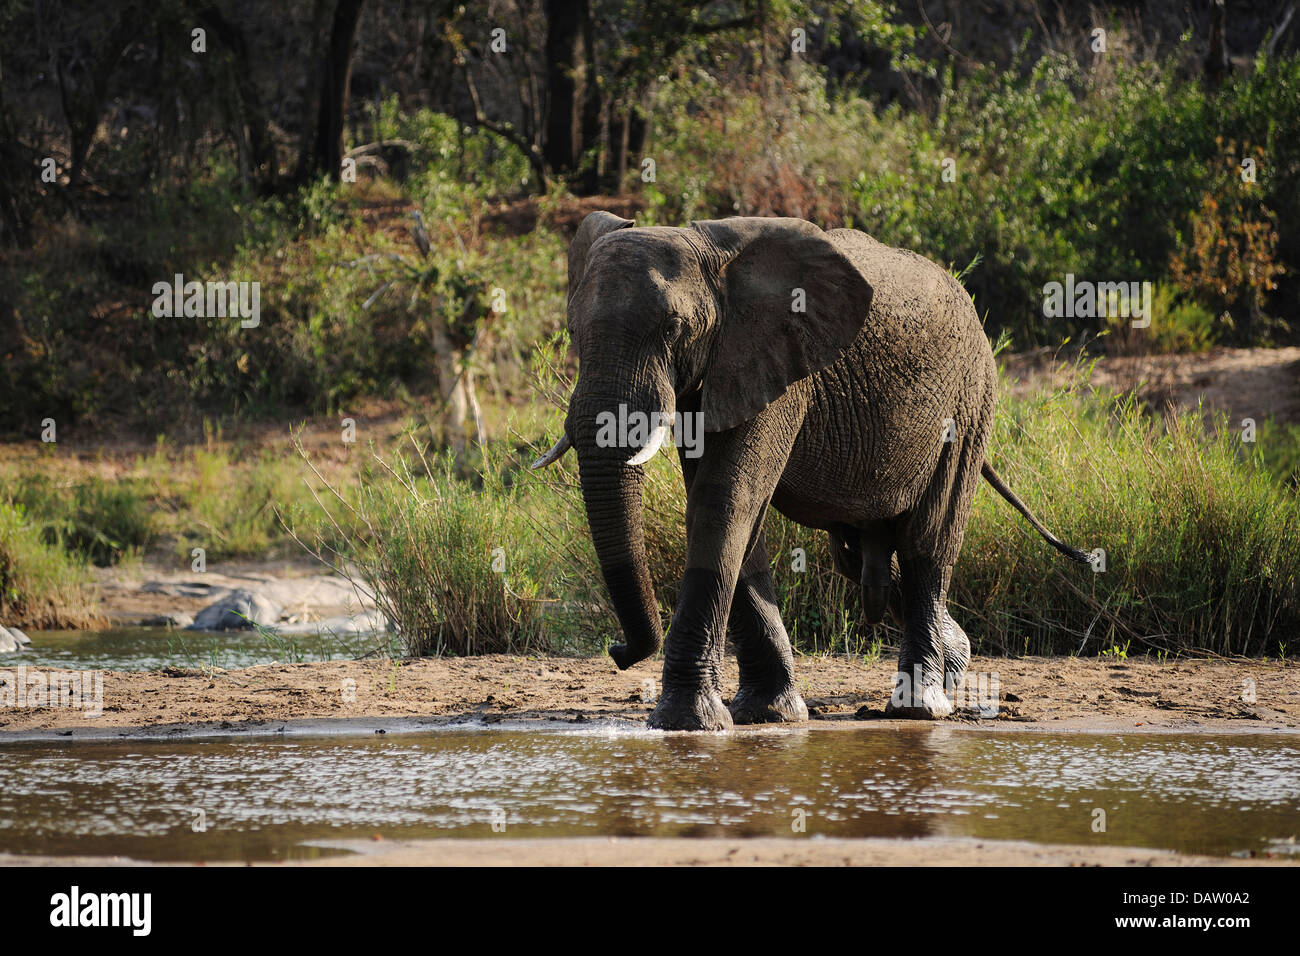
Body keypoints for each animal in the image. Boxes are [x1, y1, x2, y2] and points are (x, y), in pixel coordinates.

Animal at [531, 212, 1089, 730]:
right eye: (574, 332)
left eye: (673, 328)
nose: (617, 650)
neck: (711, 251)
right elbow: (735, 512)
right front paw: (769, 713)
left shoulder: (778, 365)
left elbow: (725, 500)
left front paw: (686, 723)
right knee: (863, 557)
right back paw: (956, 658)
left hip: (969, 403)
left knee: (928, 542)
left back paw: (920, 706)